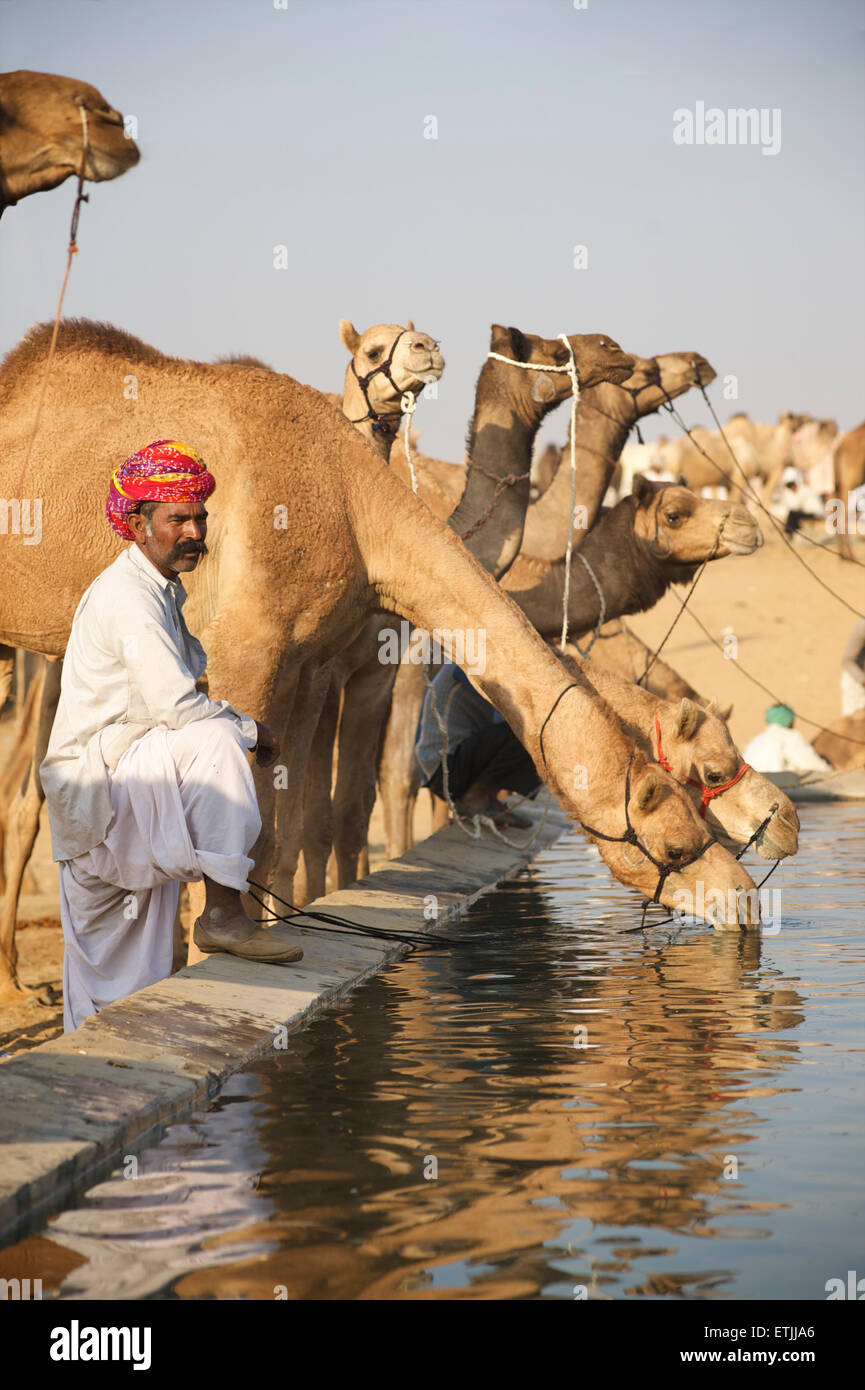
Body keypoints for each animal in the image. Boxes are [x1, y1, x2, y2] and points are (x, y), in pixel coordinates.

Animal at [0, 317, 760, 995]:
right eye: (676, 845)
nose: (746, 899)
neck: (352, 502)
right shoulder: (263, 649)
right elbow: (266, 800)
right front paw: (224, 943)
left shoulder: (309, 662)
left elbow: (293, 819)